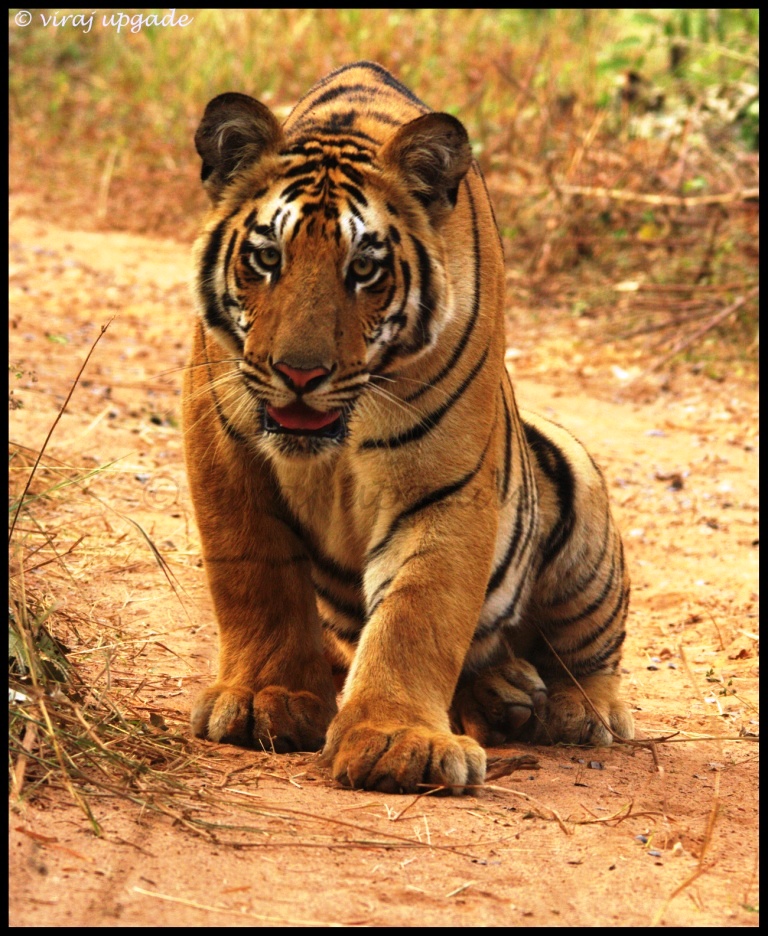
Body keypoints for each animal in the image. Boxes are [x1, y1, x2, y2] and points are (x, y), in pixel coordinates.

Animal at [184, 61, 633, 795]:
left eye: (364, 268)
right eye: (267, 258)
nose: (299, 373)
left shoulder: (445, 477)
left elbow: (418, 611)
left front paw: (397, 741)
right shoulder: (223, 445)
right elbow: (253, 577)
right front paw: (263, 699)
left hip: (579, 497)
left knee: (587, 652)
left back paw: (572, 709)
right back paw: (503, 692)